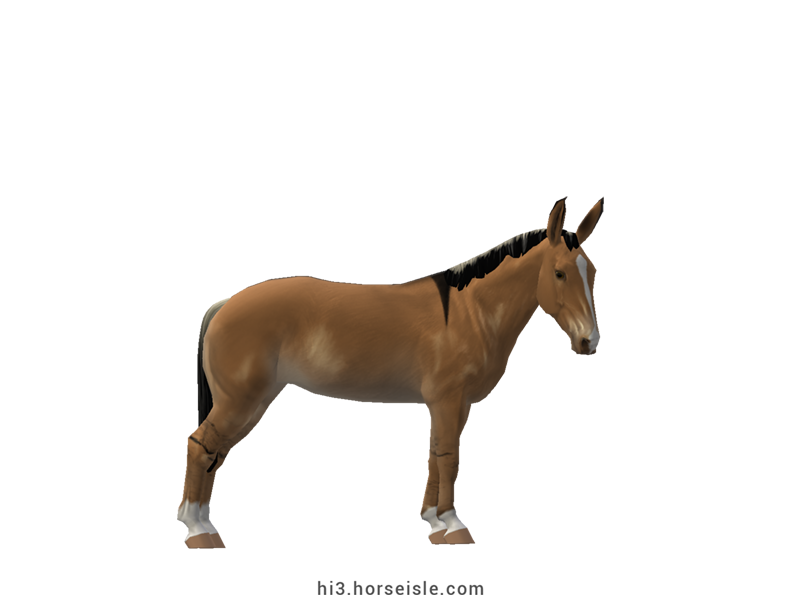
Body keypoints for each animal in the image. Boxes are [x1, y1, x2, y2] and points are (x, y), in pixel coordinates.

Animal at [177, 199, 603, 544]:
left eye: (588, 269)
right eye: (560, 273)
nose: (590, 340)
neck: (470, 314)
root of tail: (224, 306)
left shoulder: (444, 402)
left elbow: (435, 453)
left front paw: (431, 520)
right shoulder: (449, 399)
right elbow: (449, 455)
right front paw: (452, 521)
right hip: (238, 401)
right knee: (199, 445)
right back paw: (196, 526)